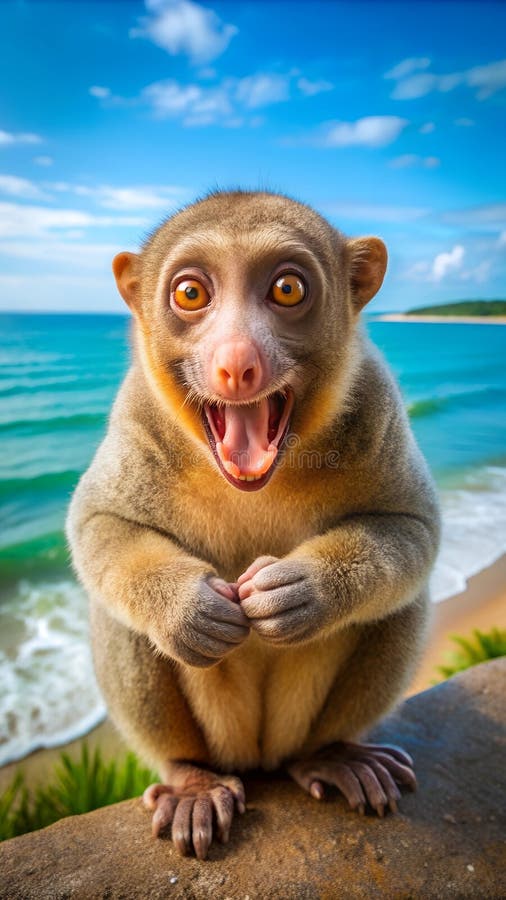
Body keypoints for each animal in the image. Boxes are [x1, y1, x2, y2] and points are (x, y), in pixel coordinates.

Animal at [66, 190, 440, 861]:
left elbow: (414, 526)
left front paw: (300, 592)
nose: (237, 363)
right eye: (191, 293)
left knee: (402, 602)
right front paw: (189, 610)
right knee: (116, 616)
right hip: (224, 742)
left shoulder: (376, 400)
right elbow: (97, 521)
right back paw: (190, 779)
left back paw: (333, 755)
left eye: (288, 289)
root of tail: (261, 758)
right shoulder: (137, 411)